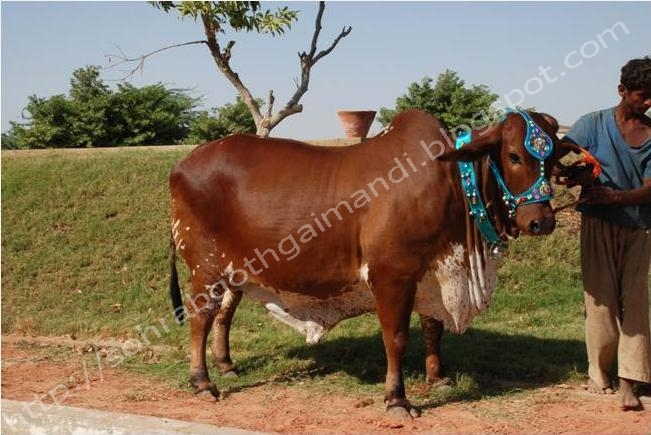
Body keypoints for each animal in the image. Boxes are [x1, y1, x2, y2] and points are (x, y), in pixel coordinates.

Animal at [168, 109, 561, 417]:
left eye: (554, 158)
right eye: (513, 156)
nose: (542, 222)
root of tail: (184, 163)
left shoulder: (431, 271)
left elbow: (433, 328)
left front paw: (437, 376)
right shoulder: (393, 275)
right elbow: (396, 338)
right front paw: (397, 399)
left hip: (235, 269)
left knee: (225, 314)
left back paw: (226, 365)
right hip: (204, 267)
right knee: (202, 318)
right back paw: (203, 382)